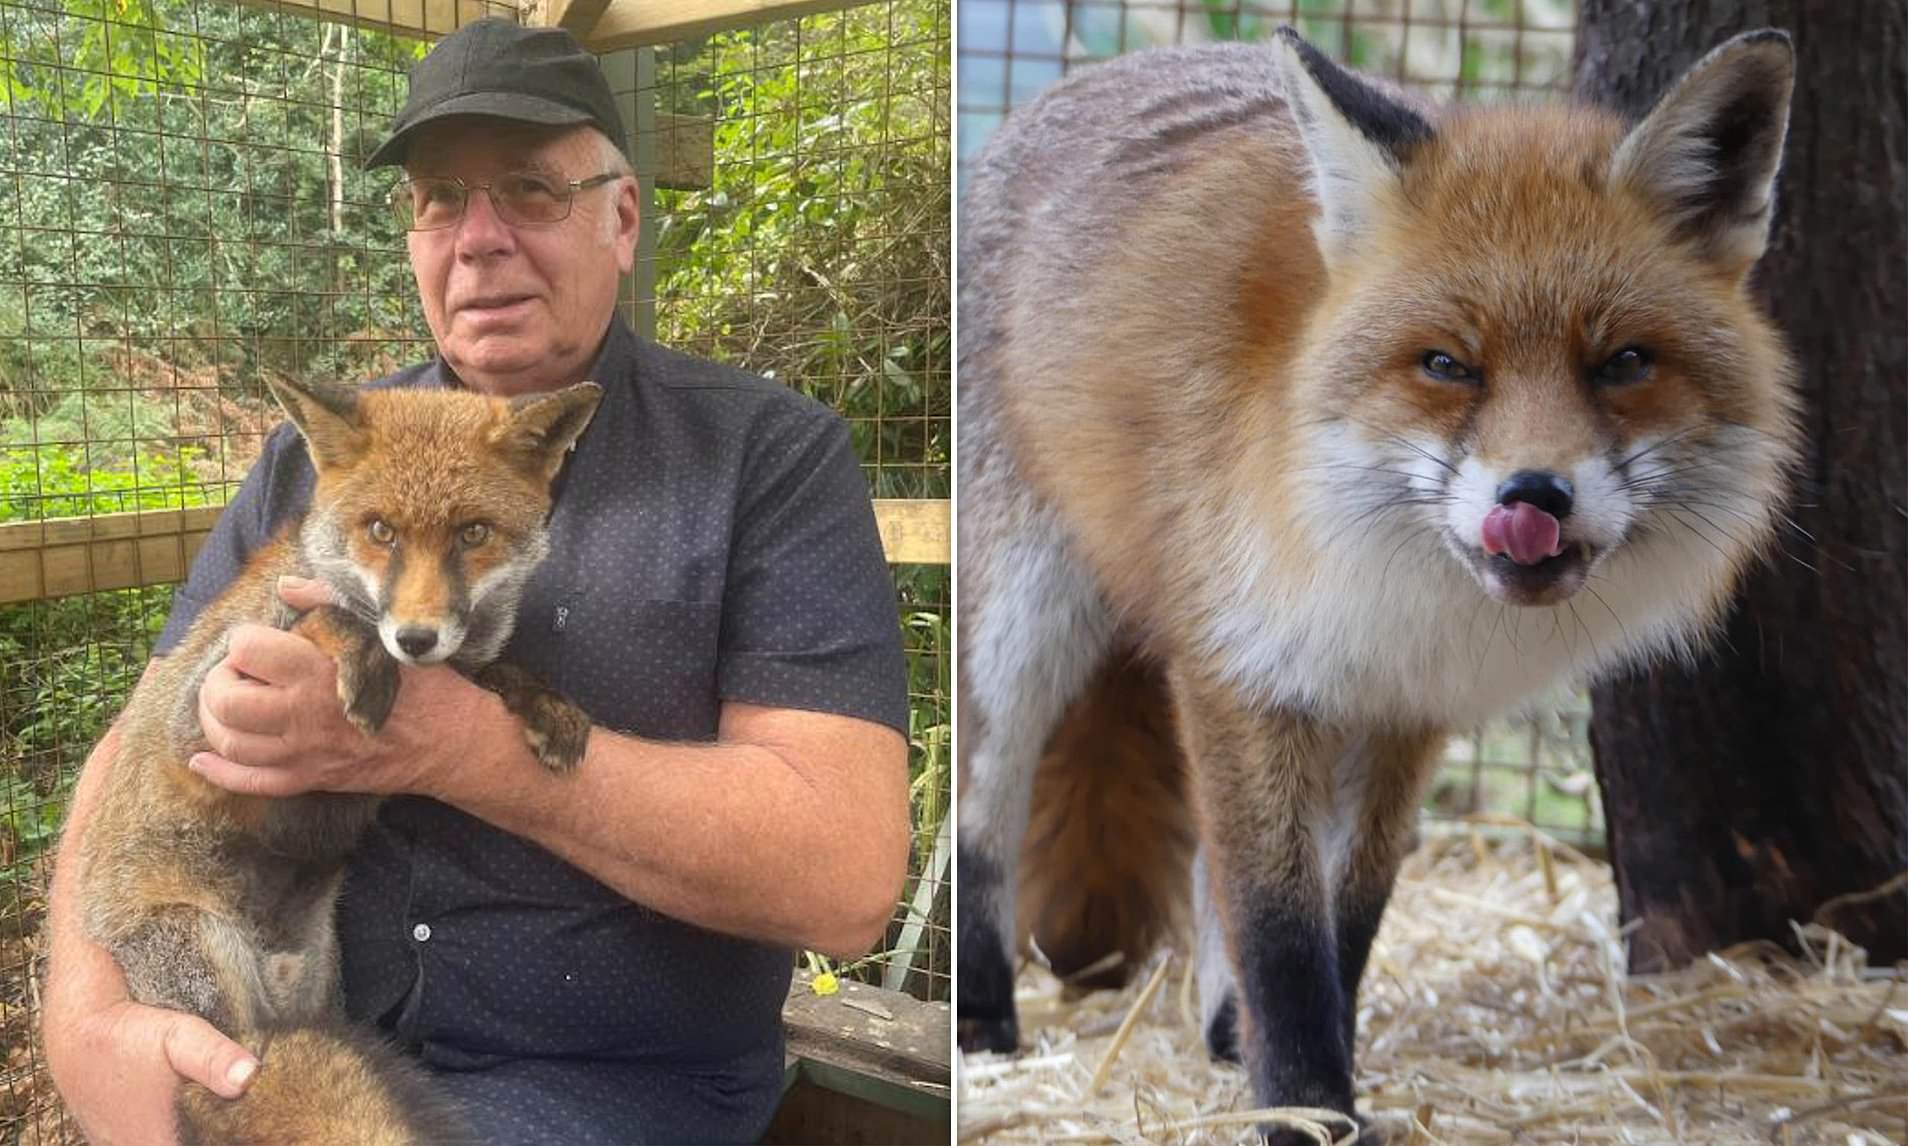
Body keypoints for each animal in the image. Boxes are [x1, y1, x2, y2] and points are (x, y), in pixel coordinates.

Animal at [74, 375, 602, 1142]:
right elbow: (332, 615)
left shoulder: (465, 667)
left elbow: (503, 672)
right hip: (203, 957)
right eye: (380, 531)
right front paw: (367, 651)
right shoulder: (203, 714)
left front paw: (548, 706)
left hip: (321, 980)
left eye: (472, 534)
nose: (415, 638)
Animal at [955, 24, 1801, 1138]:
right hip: (1023, 626)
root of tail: (1080, 85)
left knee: (1200, 868)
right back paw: (982, 1024)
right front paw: (1306, 1109)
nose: (1535, 495)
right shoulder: (1236, 671)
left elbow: (1344, 918)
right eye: (1446, 365)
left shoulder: (1404, 708)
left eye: (1622, 362)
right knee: (982, 814)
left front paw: (1299, 1074)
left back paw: (1222, 1037)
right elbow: (1278, 927)